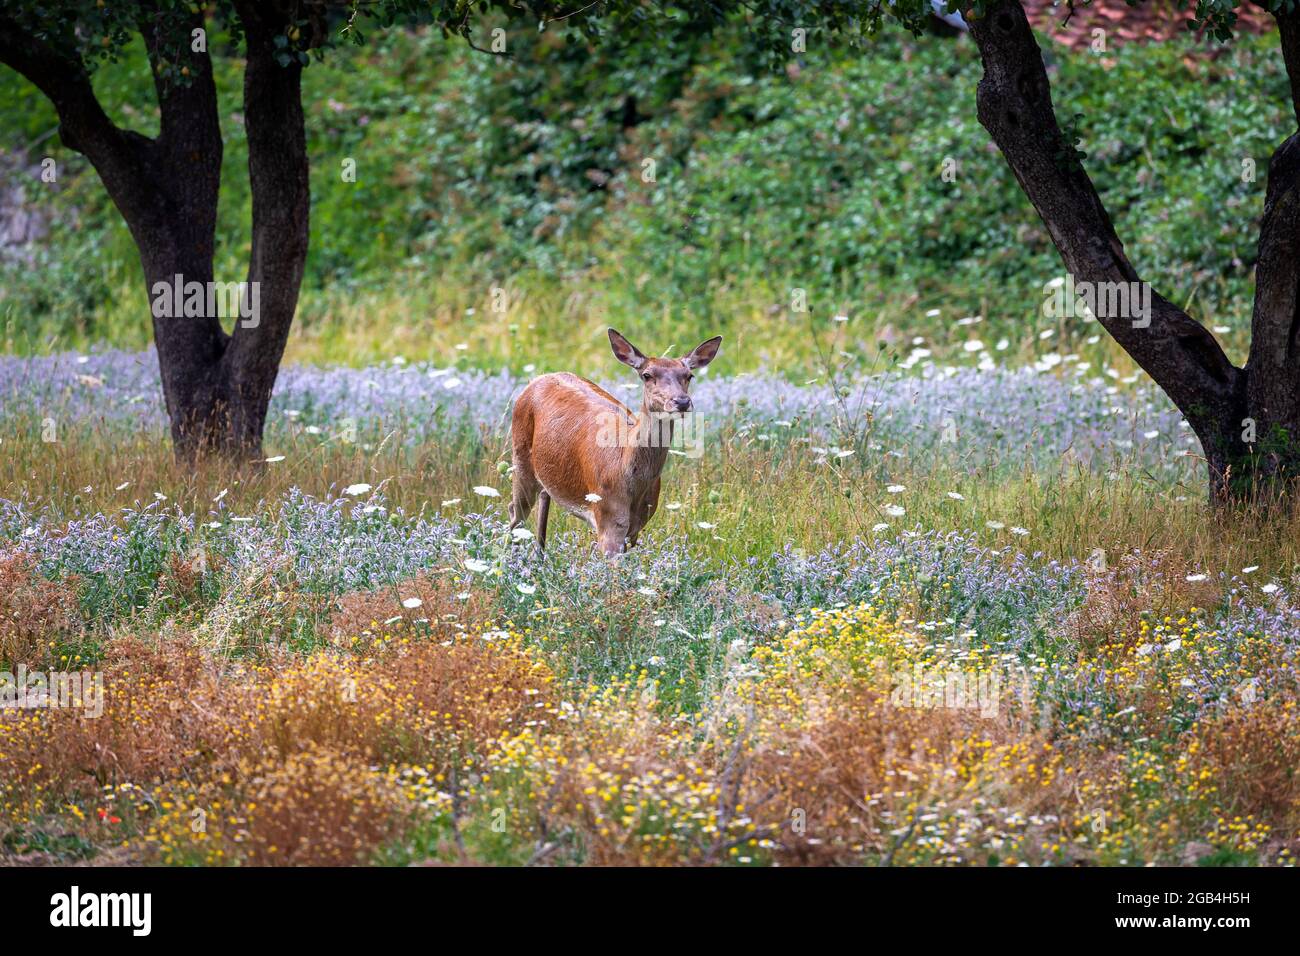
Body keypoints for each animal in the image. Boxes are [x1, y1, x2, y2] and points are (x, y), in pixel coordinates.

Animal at [508, 328, 722, 557]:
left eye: (689, 375)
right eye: (647, 375)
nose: (681, 402)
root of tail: (535, 380)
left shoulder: (637, 526)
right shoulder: (608, 518)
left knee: (543, 499)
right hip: (520, 459)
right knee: (515, 512)